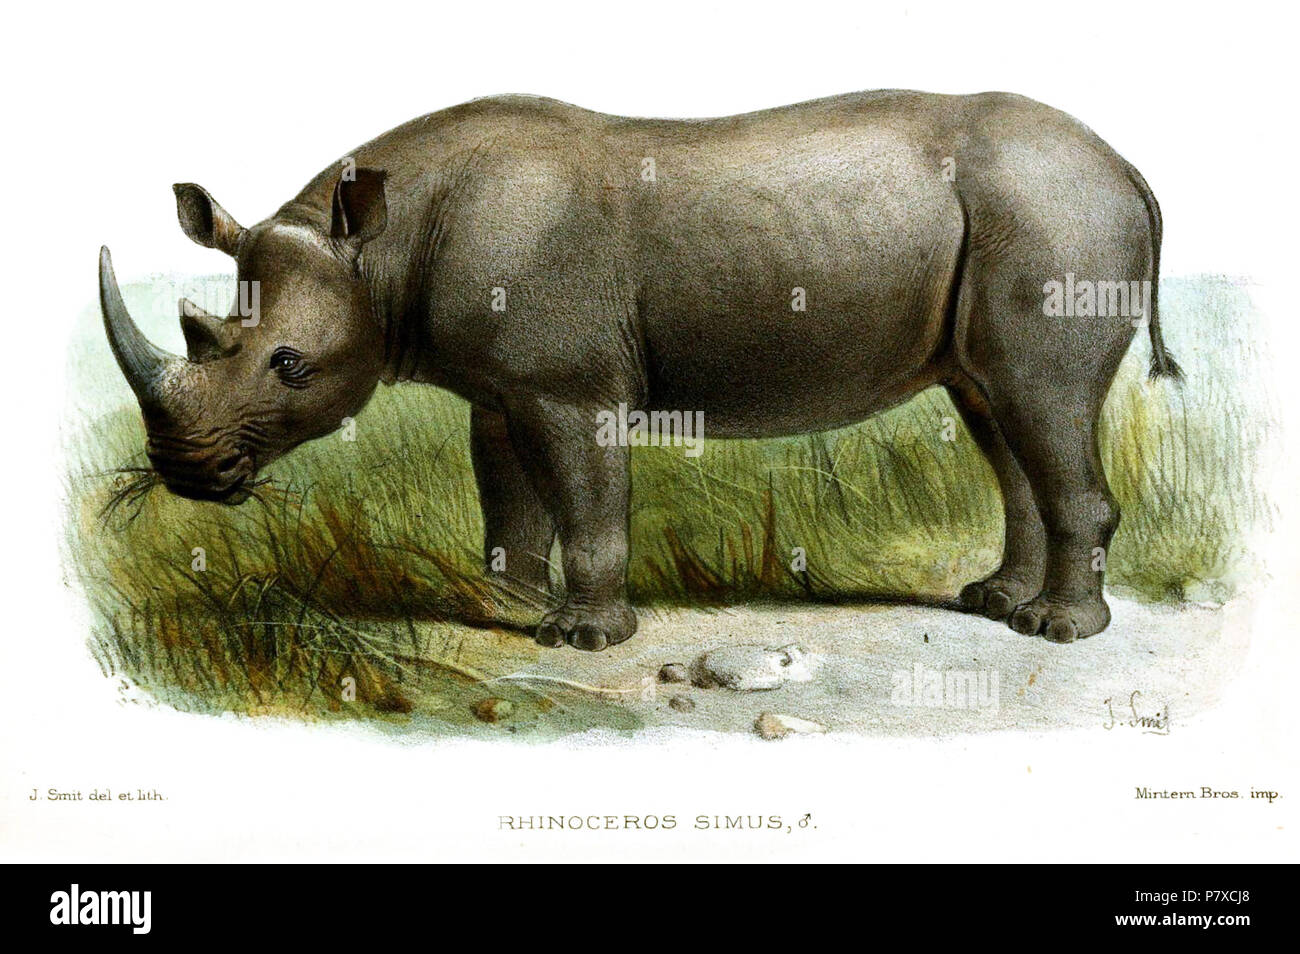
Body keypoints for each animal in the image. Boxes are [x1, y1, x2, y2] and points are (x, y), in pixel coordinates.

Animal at [99, 89, 1179, 650]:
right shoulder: (504, 387)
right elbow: (509, 499)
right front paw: (508, 608)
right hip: (1033, 218)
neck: (379, 248)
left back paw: (1059, 632)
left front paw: (582, 638)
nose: (185, 473)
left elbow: (587, 501)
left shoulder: (569, 385)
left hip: (1055, 214)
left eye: (288, 366)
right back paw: (995, 606)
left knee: (1039, 400)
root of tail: (1126, 167)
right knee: (996, 410)